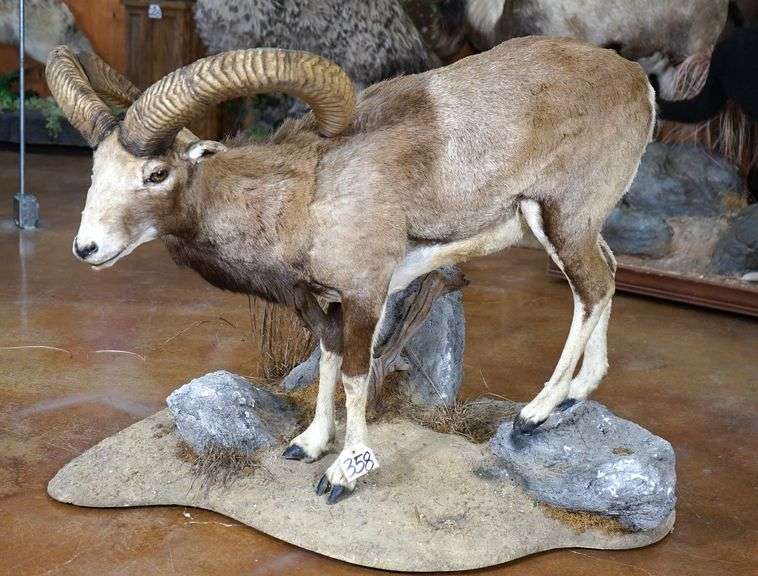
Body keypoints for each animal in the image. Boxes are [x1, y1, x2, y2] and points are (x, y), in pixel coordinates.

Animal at [46, 38, 654, 503]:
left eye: (156, 173)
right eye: (96, 168)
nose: (87, 247)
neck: (306, 194)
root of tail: (637, 83)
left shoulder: (367, 293)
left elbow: (358, 374)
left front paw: (343, 473)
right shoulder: (321, 303)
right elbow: (328, 359)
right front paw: (309, 444)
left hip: (562, 219)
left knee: (591, 289)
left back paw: (537, 413)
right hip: (565, 228)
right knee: (608, 274)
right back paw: (577, 395)